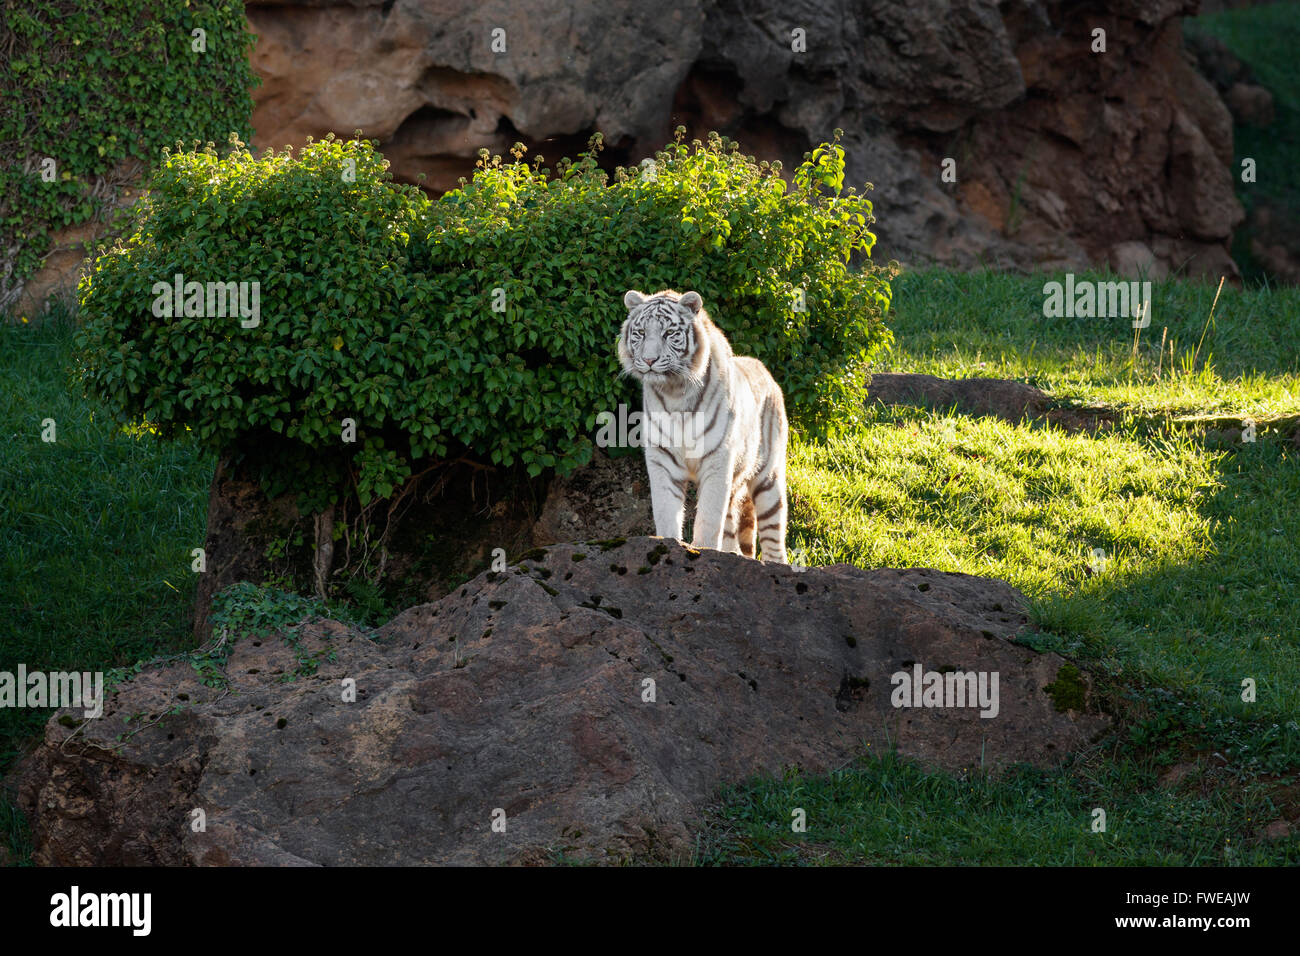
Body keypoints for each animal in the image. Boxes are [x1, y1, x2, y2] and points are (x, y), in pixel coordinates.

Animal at [618, 288, 789, 563]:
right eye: (641, 333)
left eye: (669, 333)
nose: (649, 359)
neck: (675, 392)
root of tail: (764, 369)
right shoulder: (662, 458)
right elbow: (666, 510)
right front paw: (666, 546)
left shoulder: (717, 457)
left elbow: (709, 518)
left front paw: (702, 550)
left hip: (768, 478)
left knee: (774, 536)